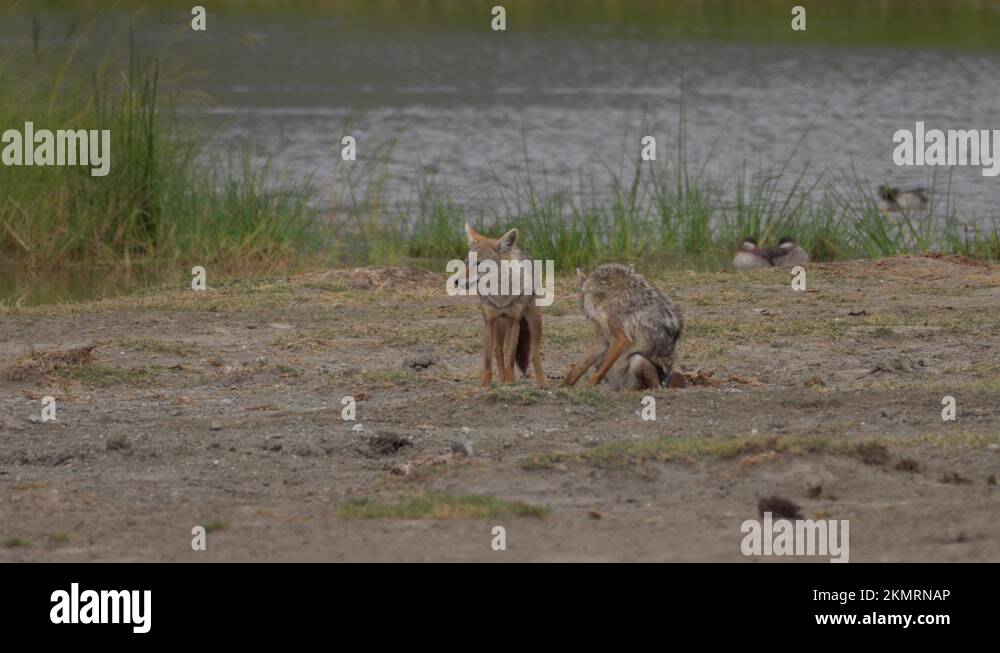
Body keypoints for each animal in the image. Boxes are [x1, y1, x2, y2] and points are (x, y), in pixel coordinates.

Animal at [464, 224, 547, 388]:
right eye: (465, 263)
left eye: (479, 263)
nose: (459, 282)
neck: (500, 295)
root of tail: (519, 248)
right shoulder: (489, 322)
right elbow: (488, 360)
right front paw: (486, 384)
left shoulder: (514, 323)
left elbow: (510, 359)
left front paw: (510, 383)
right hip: (500, 325)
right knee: (498, 350)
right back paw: (502, 380)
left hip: (533, 321)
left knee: (534, 354)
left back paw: (542, 383)